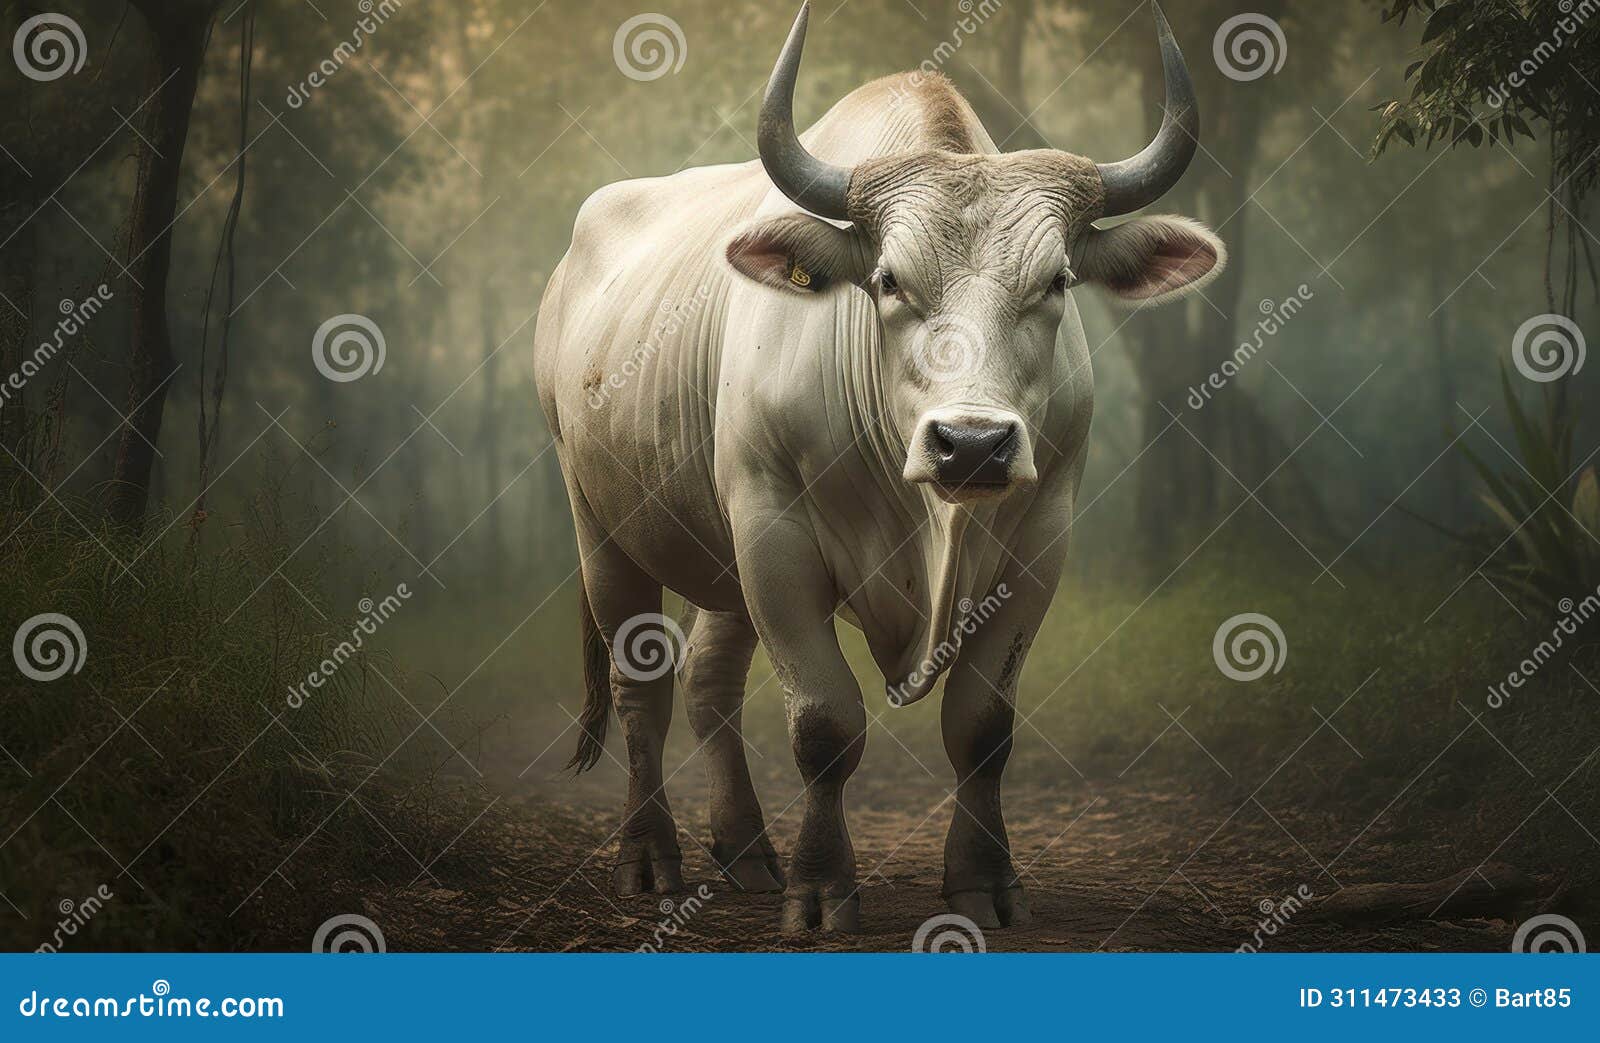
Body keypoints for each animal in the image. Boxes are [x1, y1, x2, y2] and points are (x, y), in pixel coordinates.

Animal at [534, 1, 1224, 934]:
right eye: (889, 280)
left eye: (1056, 280)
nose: (971, 443)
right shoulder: (774, 534)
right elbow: (824, 723)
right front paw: (822, 888)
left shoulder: (1039, 544)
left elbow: (983, 726)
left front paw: (984, 879)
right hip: (599, 524)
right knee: (642, 687)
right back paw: (650, 859)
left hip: (719, 561)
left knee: (712, 678)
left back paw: (747, 851)